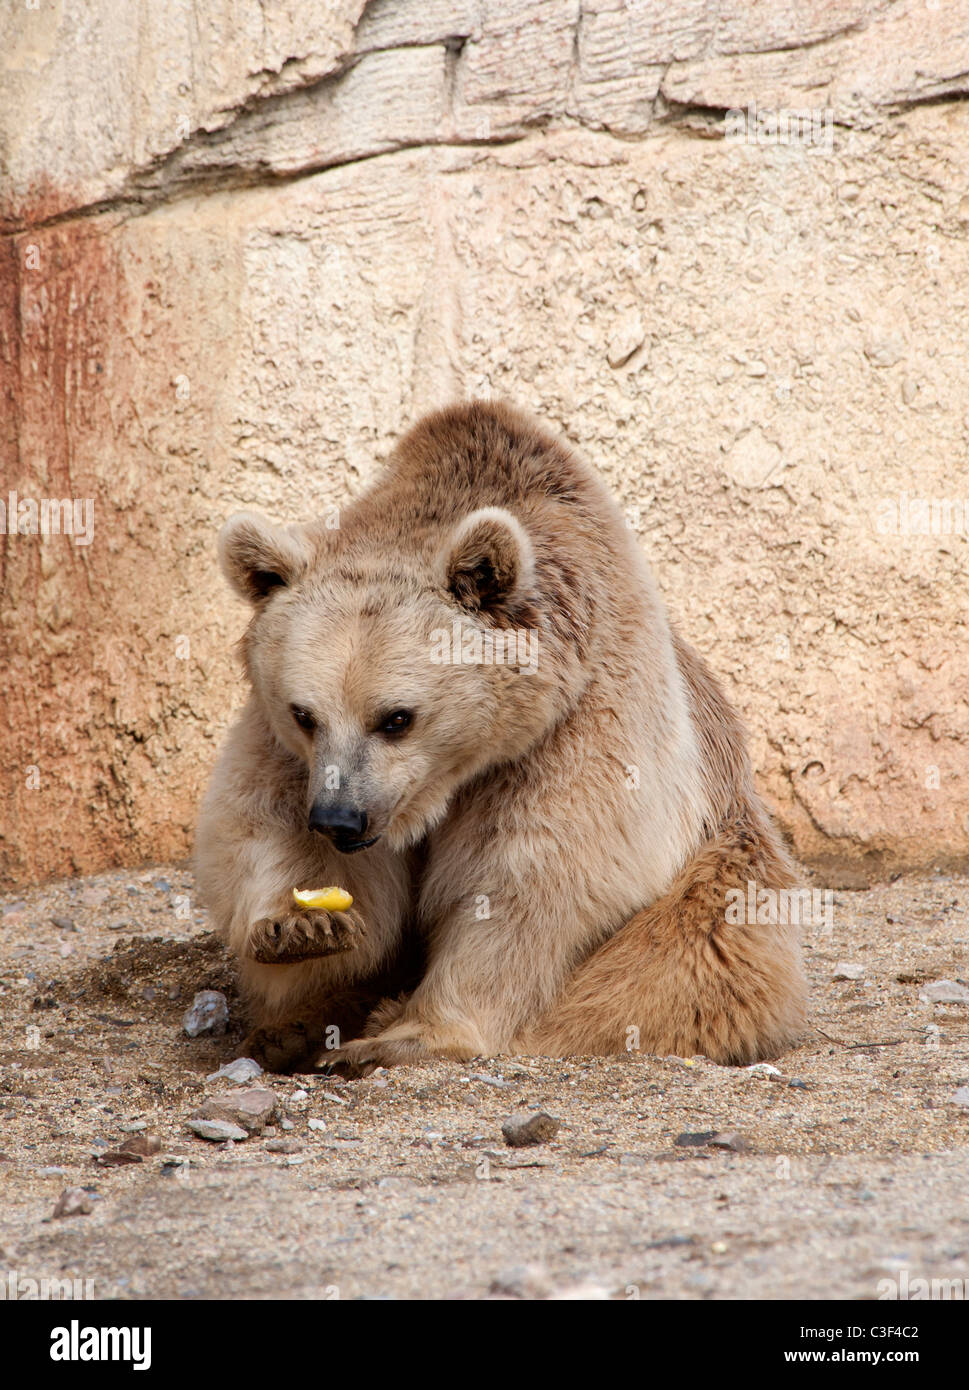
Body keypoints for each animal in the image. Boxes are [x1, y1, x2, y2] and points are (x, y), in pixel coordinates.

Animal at [194, 399, 807, 1074]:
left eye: (397, 717)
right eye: (305, 714)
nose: (340, 818)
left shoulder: (580, 725)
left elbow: (532, 869)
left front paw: (406, 1034)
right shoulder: (283, 747)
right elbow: (263, 821)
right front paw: (302, 930)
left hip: (723, 855)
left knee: (684, 959)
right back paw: (295, 1028)